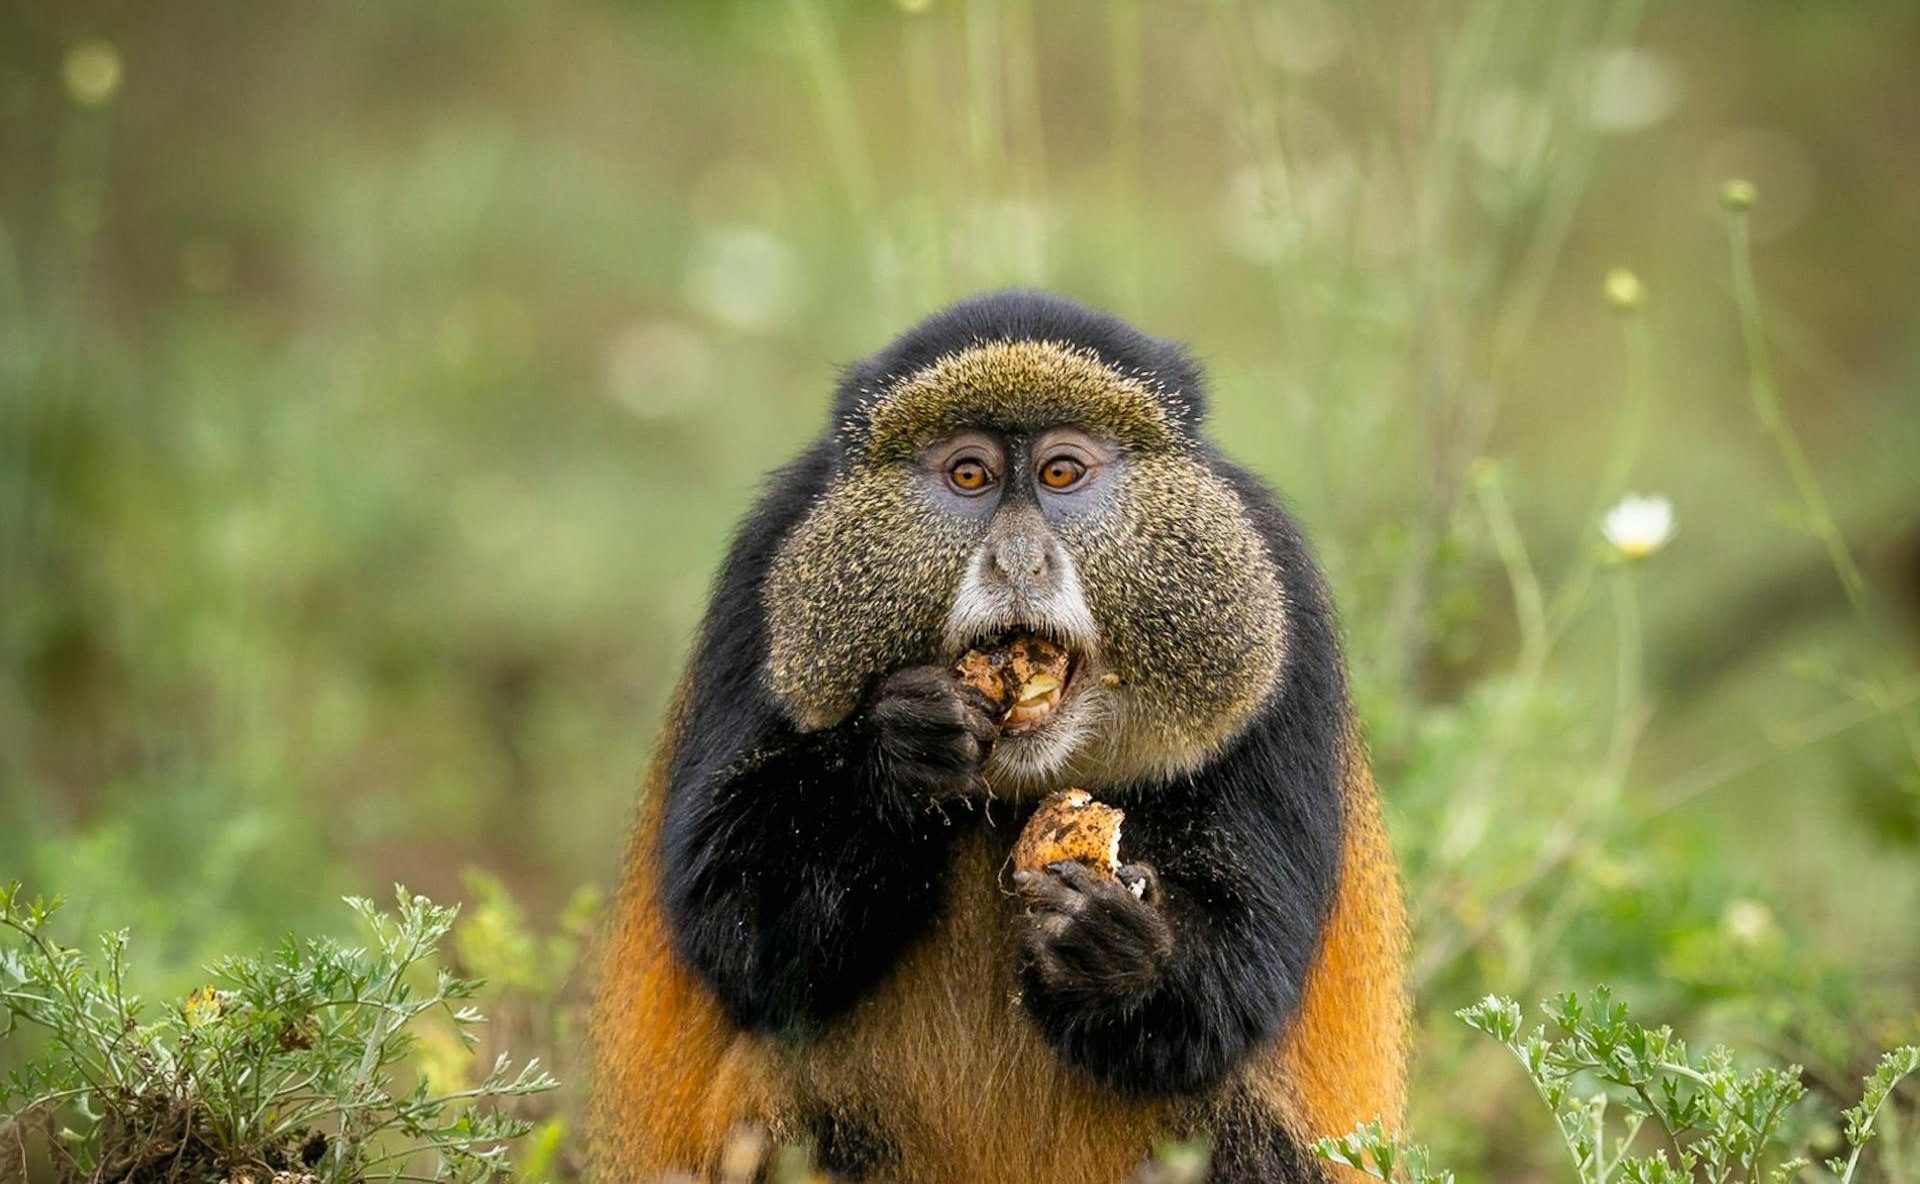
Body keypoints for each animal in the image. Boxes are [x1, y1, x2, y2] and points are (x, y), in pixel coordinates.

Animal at [590, 291, 1408, 1184]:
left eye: (1061, 473)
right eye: (970, 476)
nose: (1018, 561)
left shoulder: (1278, 602)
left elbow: (1244, 974)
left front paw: (1113, 948)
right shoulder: (763, 571)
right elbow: (735, 922)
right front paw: (898, 757)